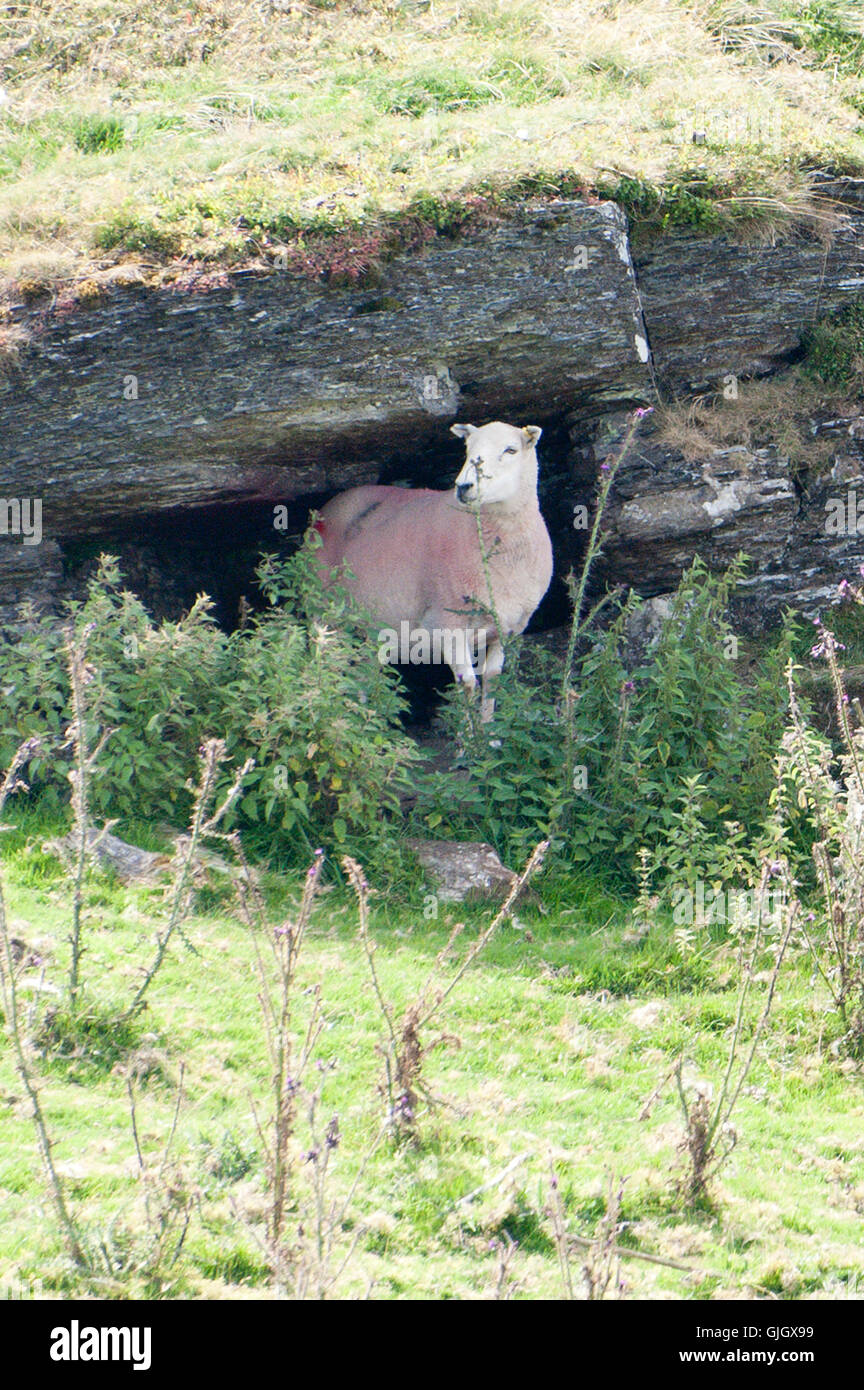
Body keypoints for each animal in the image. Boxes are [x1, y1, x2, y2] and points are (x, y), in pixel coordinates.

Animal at [312, 420, 554, 720]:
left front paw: (487, 730)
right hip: (322, 612)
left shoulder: (507, 630)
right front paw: (467, 734)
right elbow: (467, 684)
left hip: (371, 630)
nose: (464, 486)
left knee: (363, 677)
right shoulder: (449, 622)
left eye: (511, 450)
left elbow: (492, 682)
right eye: (467, 448)